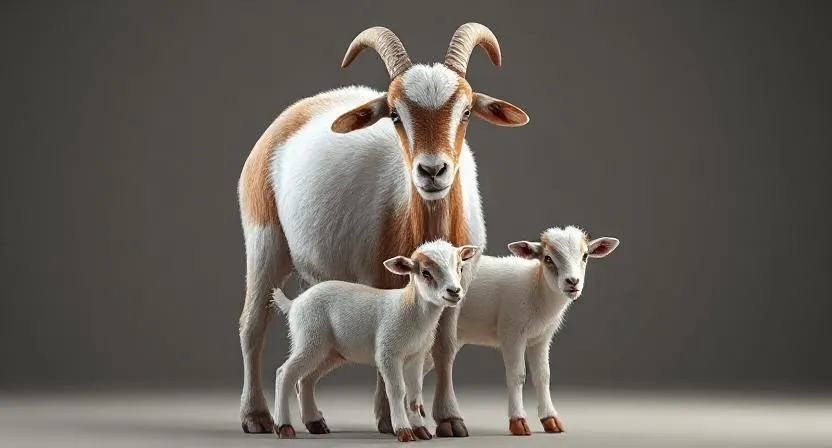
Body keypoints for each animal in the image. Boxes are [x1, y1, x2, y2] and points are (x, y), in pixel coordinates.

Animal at [271, 241, 480, 442]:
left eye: (460, 267)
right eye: (425, 273)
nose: (455, 291)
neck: (410, 309)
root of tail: (294, 303)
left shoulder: (416, 356)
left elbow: (415, 394)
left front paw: (421, 430)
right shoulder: (388, 352)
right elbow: (397, 390)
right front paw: (404, 431)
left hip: (330, 352)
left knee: (306, 380)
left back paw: (315, 424)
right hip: (309, 339)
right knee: (284, 373)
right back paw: (283, 427)